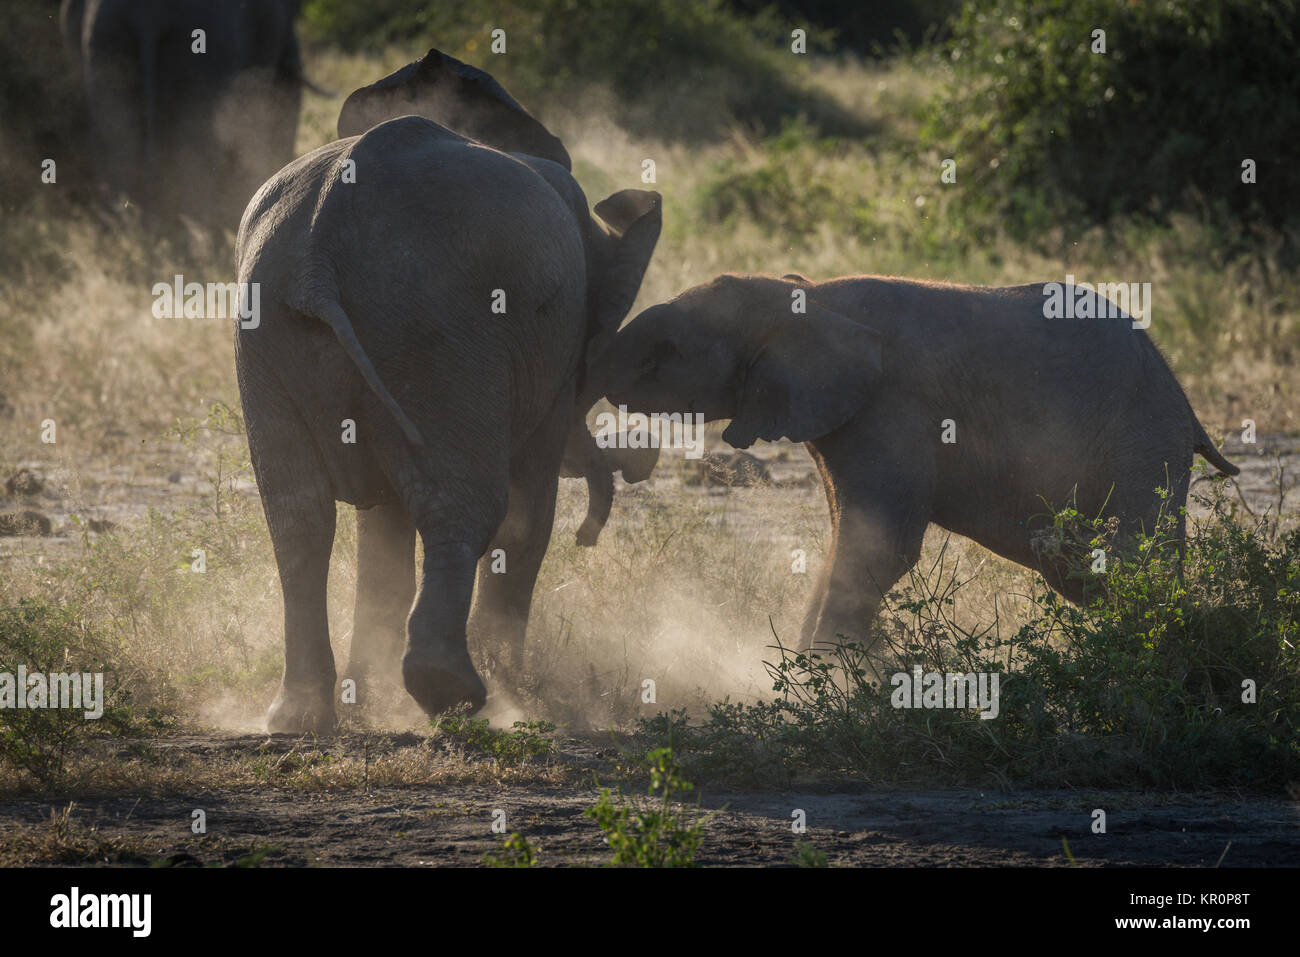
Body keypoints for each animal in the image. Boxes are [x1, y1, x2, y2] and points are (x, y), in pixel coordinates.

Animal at [235, 49, 661, 732]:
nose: (589, 537)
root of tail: (319, 250)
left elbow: (380, 524)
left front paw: (367, 697)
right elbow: (525, 511)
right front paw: (520, 693)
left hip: (271, 331)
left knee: (298, 515)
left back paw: (299, 718)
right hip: (435, 328)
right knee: (468, 501)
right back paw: (454, 694)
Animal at [593, 272, 1240, 655]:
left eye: (666, 351)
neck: (808, 294)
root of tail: (1184, 400)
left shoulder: (892, 406)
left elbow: (881, 549)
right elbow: (845, 542)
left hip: (1141, 441)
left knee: (1128, 561)